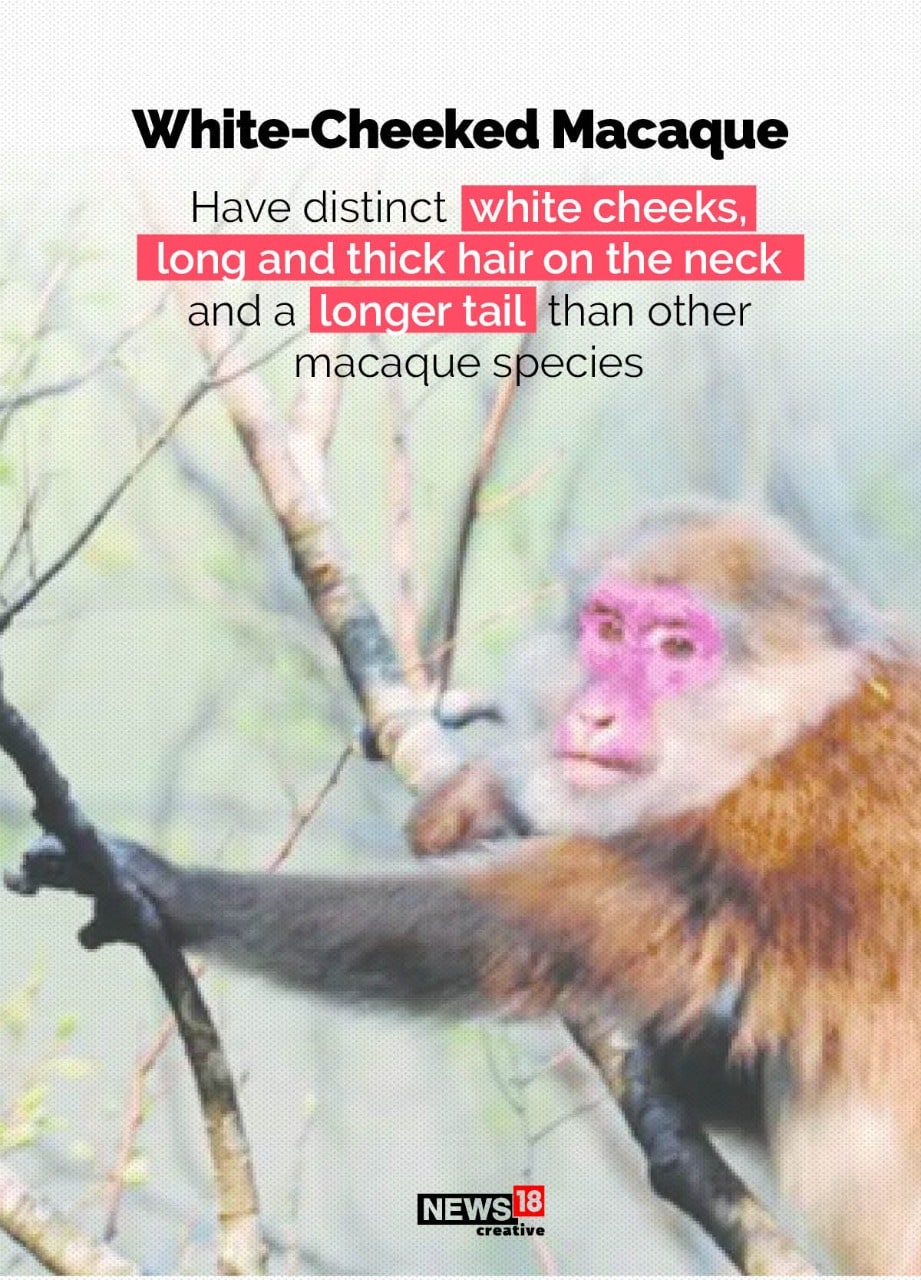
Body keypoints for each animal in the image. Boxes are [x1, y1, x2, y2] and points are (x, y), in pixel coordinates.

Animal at [10, 500, 921, 1272]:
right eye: (607, 628)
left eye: (676, 649)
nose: (594, 714)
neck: (796, 716)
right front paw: (489, 795)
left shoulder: (772, 823)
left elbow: (517, 925)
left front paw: (165, 886)